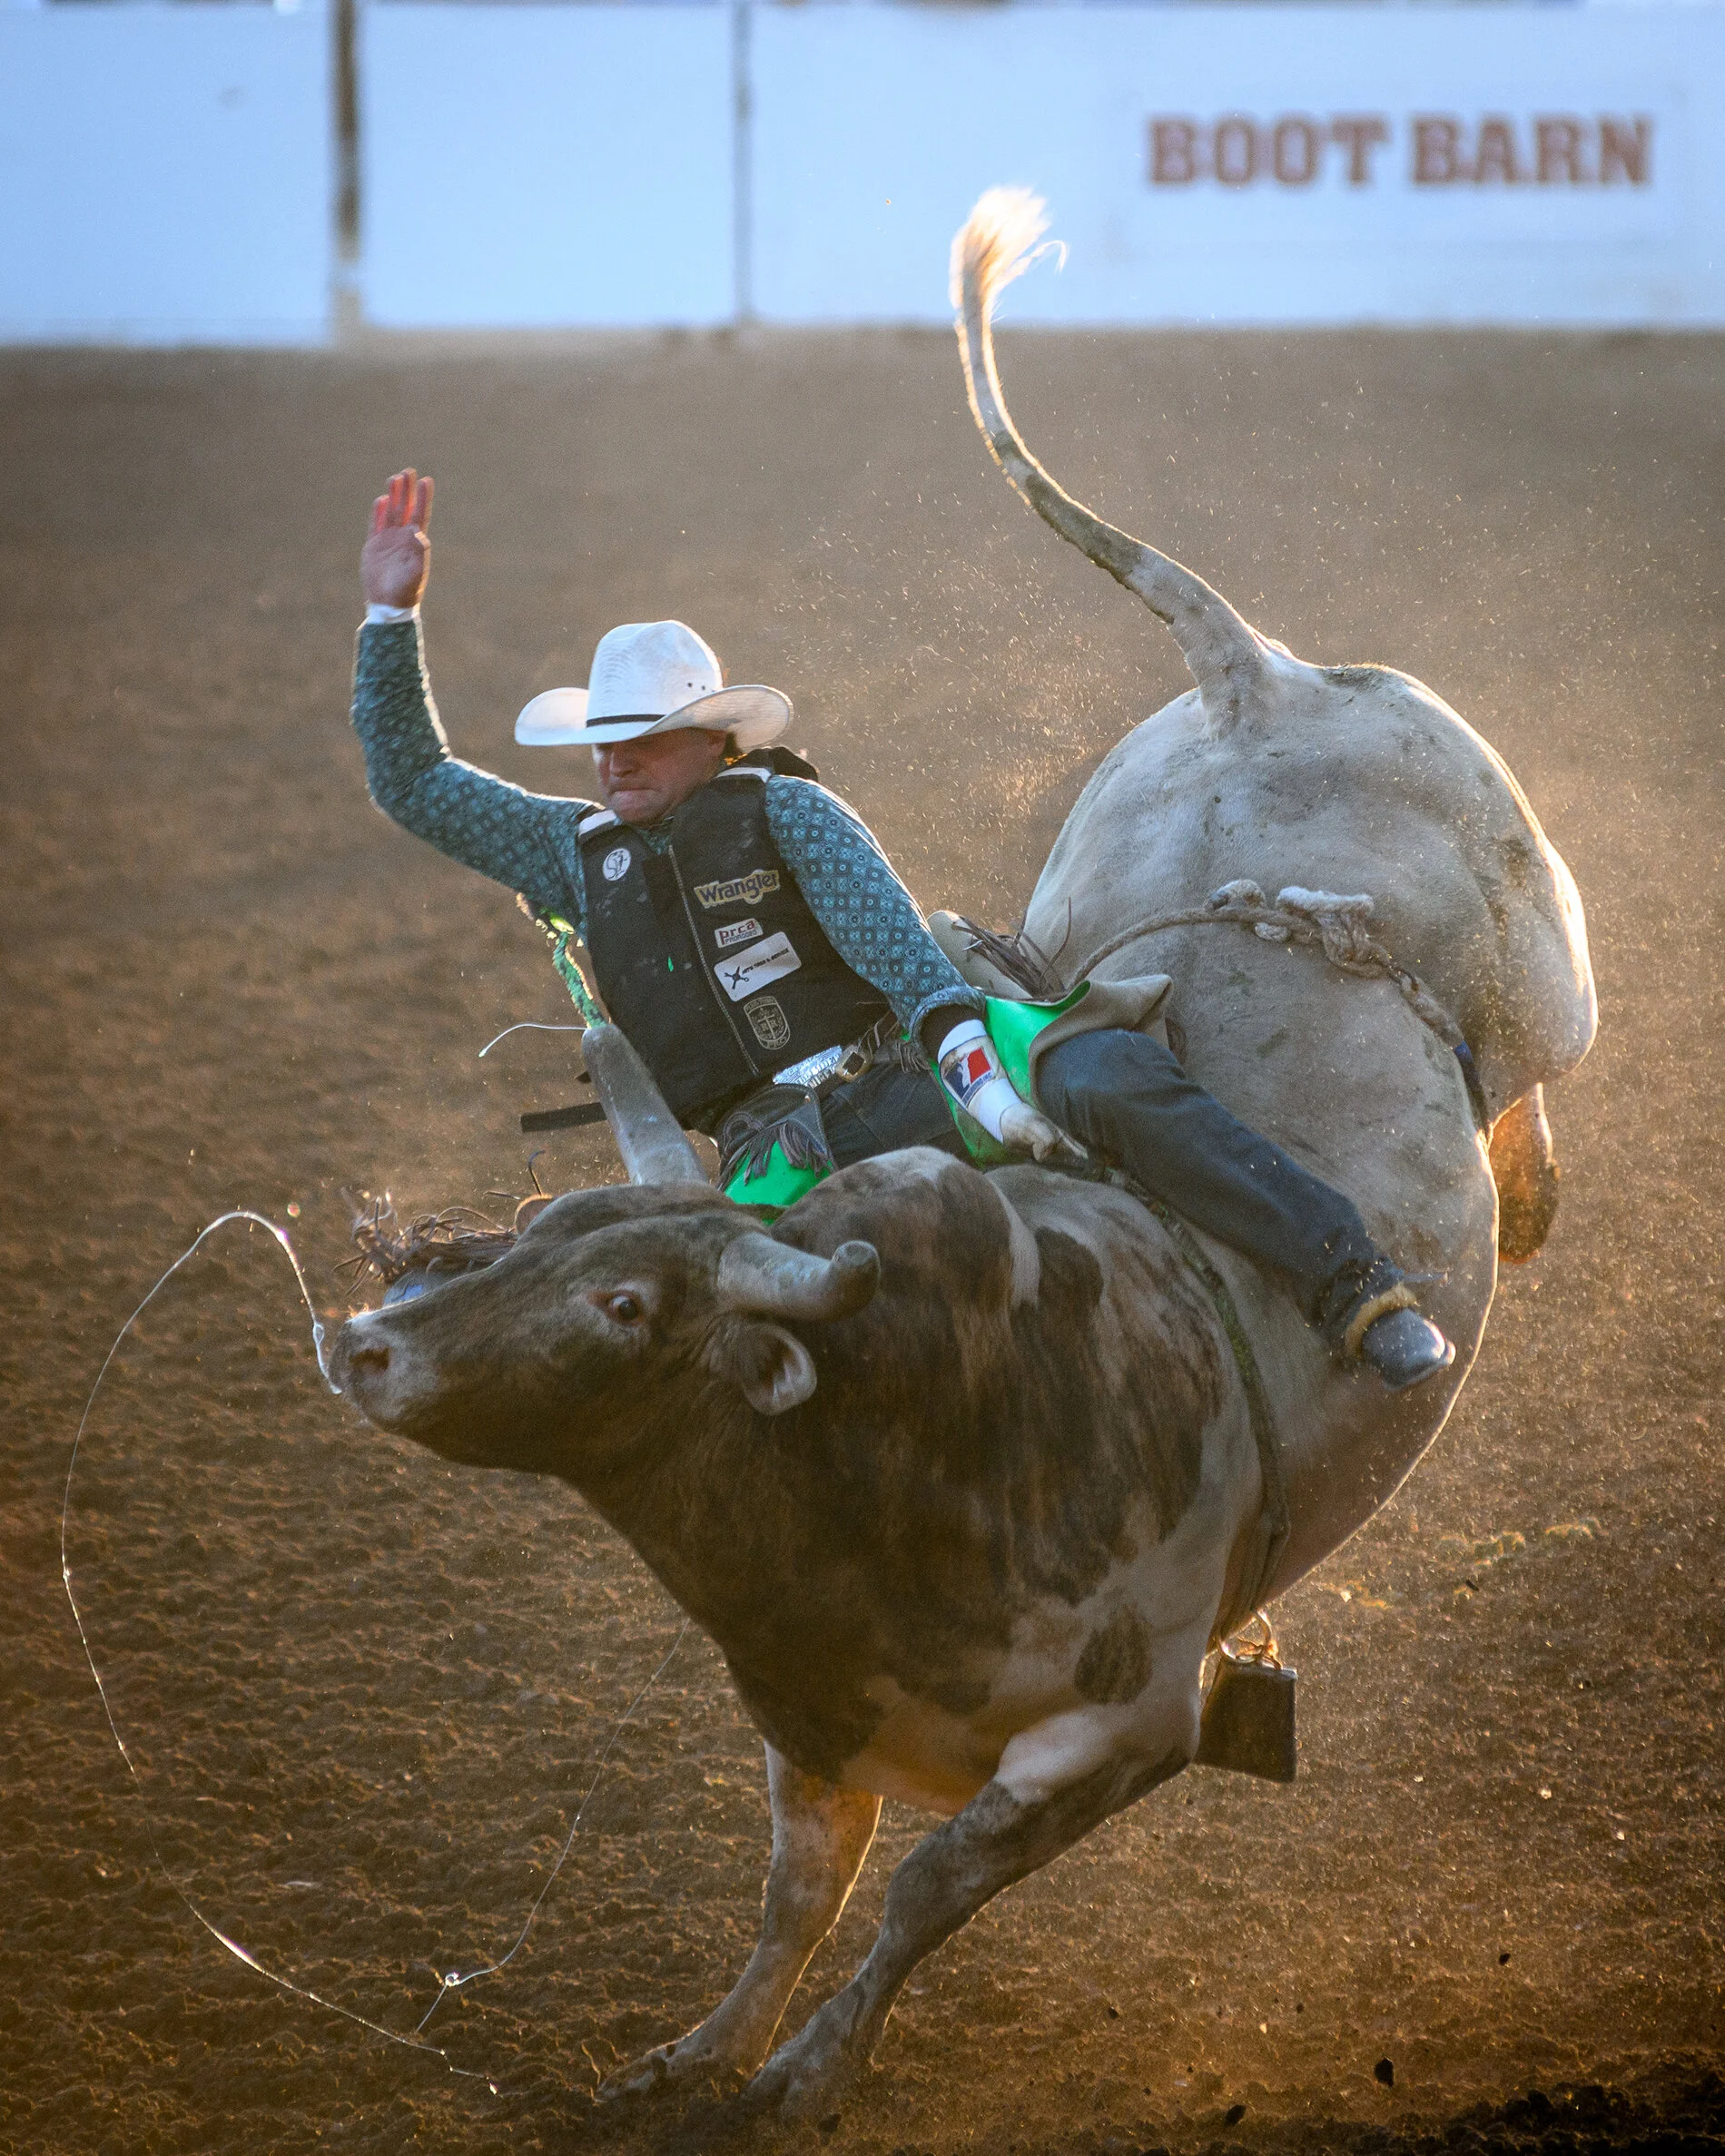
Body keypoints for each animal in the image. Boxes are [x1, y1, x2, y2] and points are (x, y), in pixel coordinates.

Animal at [330, 190, 1595, 2119]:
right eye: (540, 1229)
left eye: (628, 1305)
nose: (370, 1341)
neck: (909, 1434)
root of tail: (1252, 682)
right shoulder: (812, 1714)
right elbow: (802, 1885)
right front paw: (701, 2055)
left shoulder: (1136, 1726)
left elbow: (927, 1884)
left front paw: (806, 2075)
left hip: (1548, 968)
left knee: (1482, 1071)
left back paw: (1468, 1239)